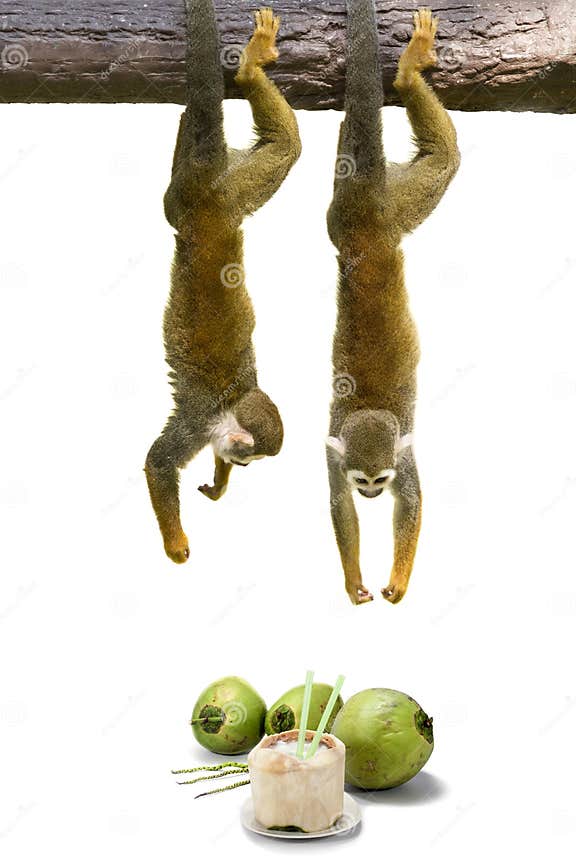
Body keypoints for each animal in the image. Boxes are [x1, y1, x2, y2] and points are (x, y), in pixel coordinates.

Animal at [145, 1, 301, 564]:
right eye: (251, 457)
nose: (243, 466)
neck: (234, 402)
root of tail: (213, 200)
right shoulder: (200, 420)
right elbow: (160, 461)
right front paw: (176, 546)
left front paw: (217, 484)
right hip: (195, 198)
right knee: (175, 198)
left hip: (235, 194)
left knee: (287, 146)